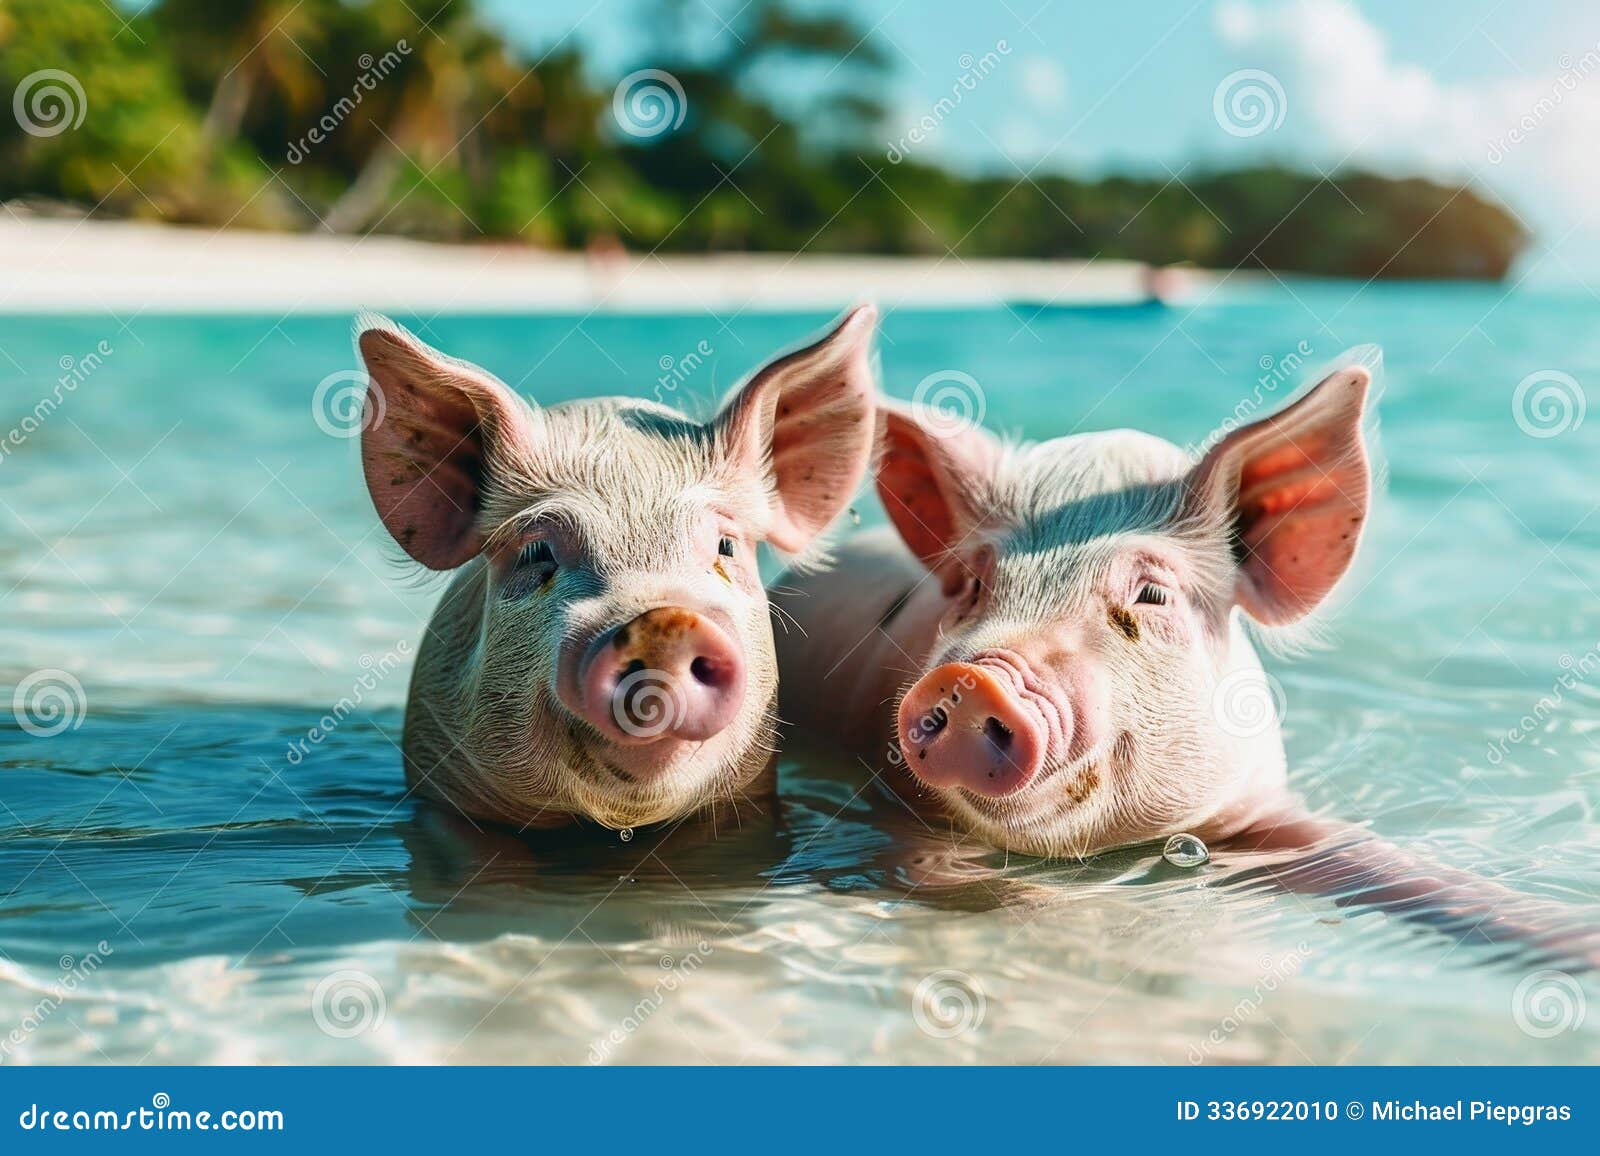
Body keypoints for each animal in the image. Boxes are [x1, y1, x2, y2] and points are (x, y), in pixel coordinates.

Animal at [776, 363, 1599, 961]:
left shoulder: (1259, 804)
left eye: (1150, 594)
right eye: (975, 585)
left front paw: (1566, 937)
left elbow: (1369, 855)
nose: (975, 676)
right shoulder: (901, 805)